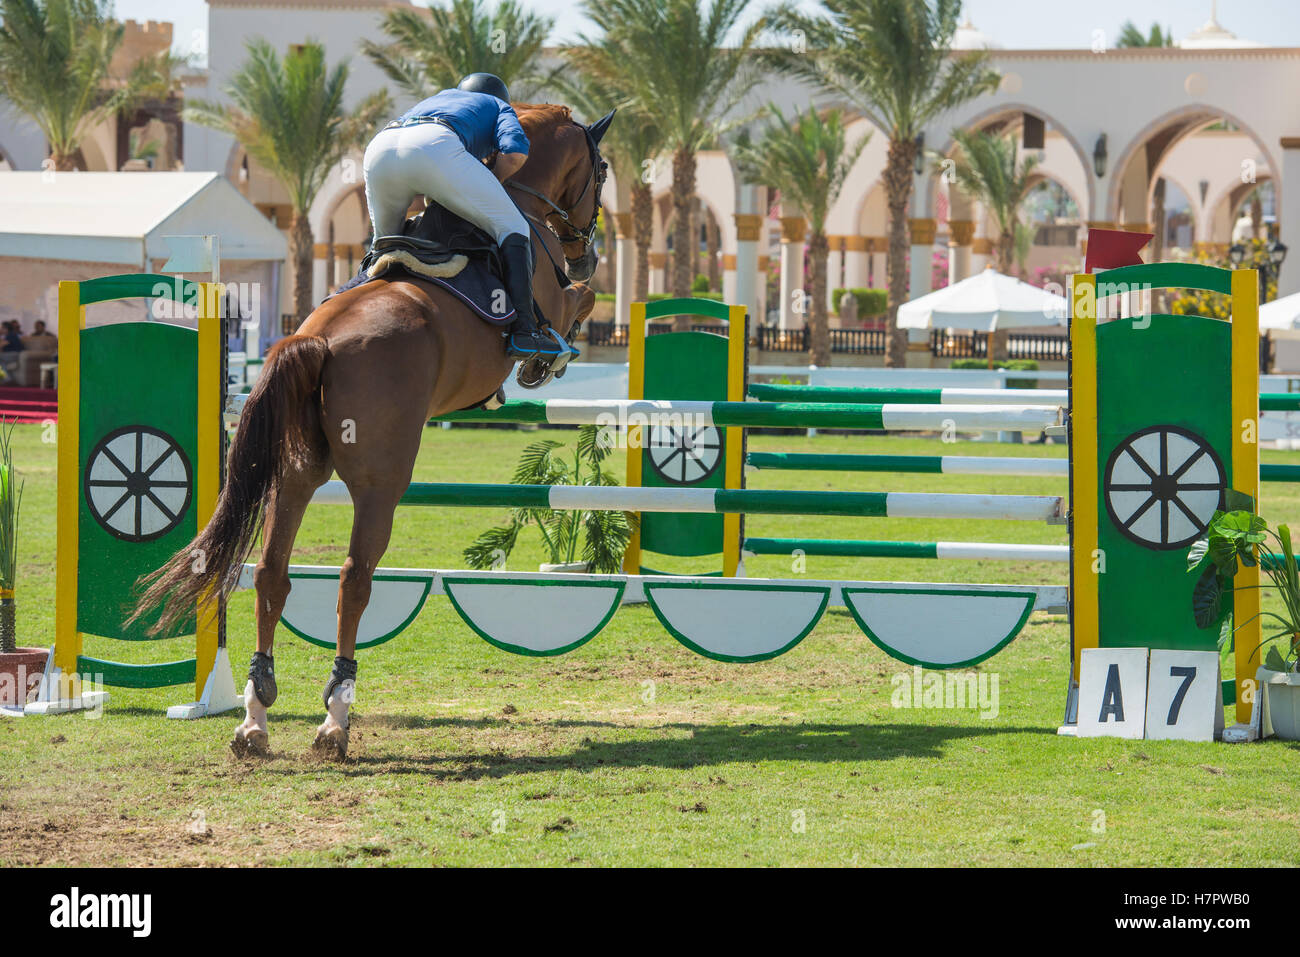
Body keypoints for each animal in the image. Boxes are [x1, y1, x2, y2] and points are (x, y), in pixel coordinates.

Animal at [135, 103, 614, 759]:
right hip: (380, 482)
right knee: (353, 578)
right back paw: (335, 716)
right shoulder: (551, 295)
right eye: (603, 171)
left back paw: (255, 718)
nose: (586, 251)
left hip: (294, 475)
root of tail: (317, 340)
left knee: (271, 574)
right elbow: (577, 303)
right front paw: (548, 359)